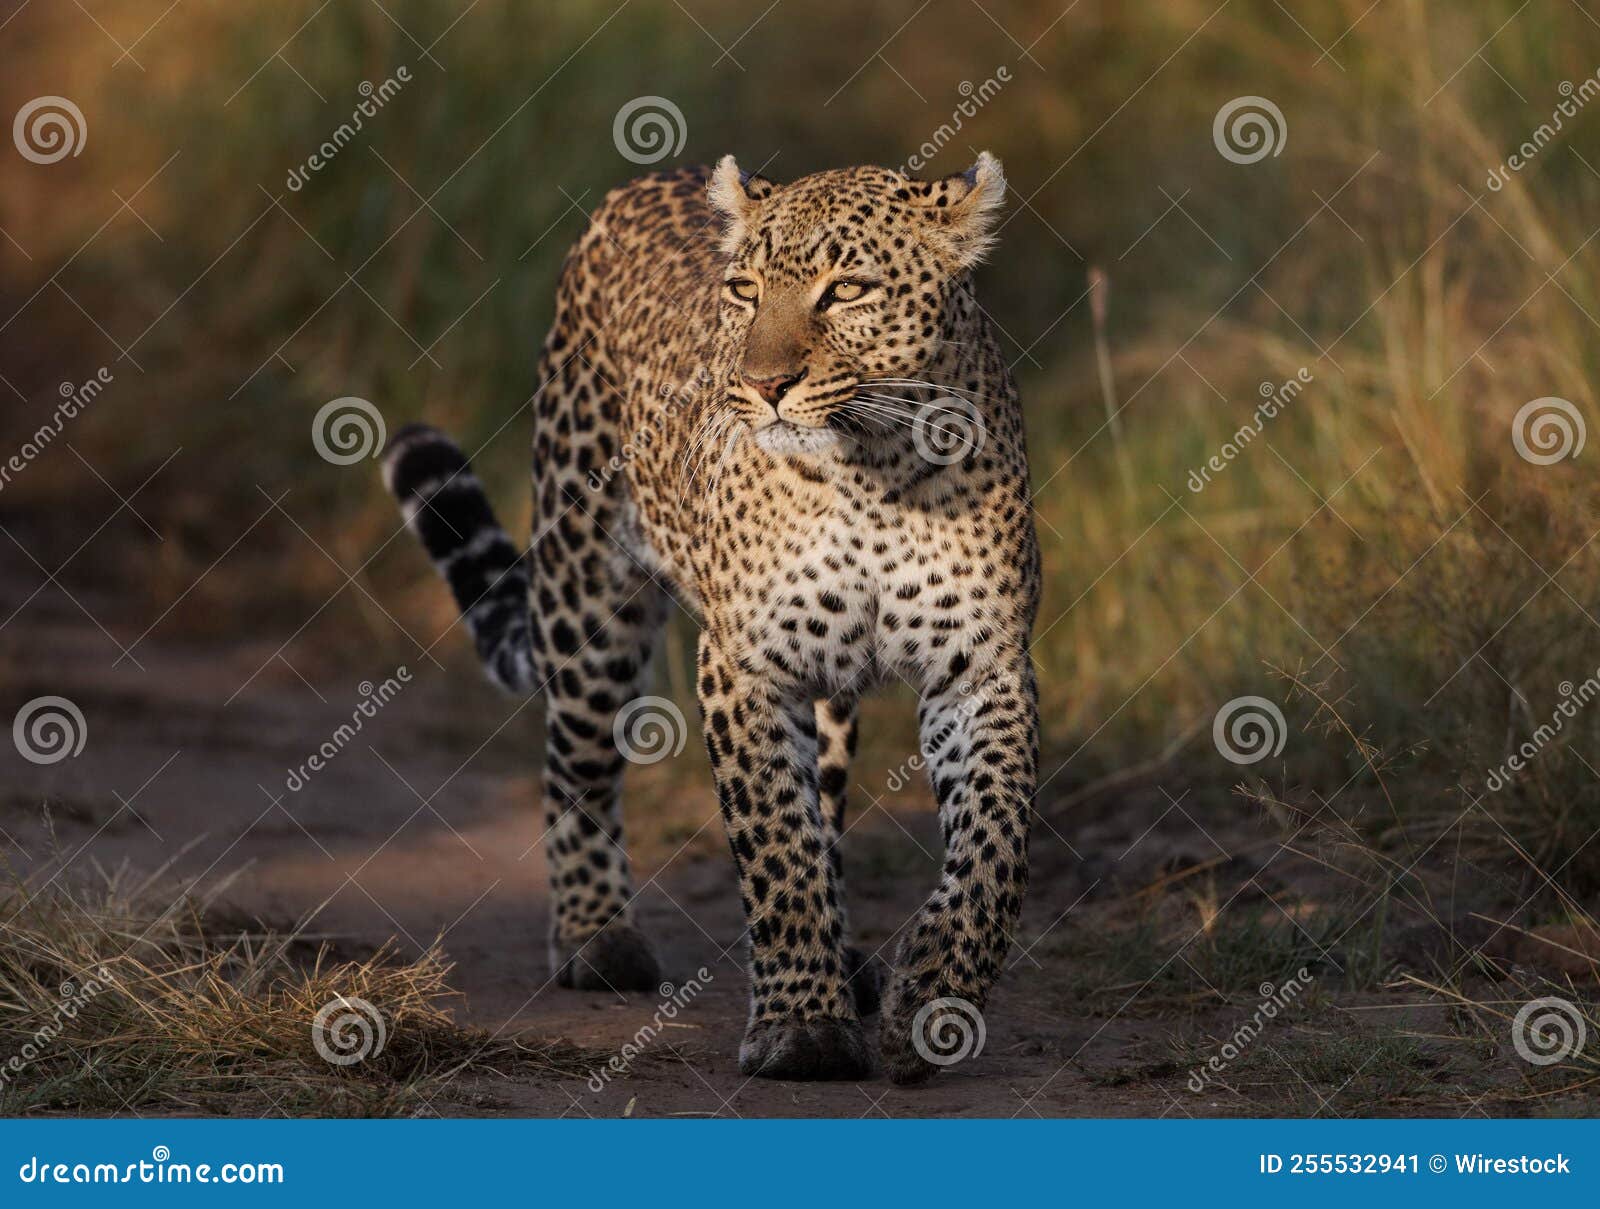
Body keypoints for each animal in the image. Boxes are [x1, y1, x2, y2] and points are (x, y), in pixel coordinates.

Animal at [381, 152, 1040, 1085]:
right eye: (745, 289)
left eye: (846, 289)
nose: (764, 386)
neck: (875, 468)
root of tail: (647, 178)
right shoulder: (746, 663)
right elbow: (775, 843)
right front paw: (802, 1027)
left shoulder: (982, 665)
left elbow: (993, 844)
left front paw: (934, 993)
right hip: (587, 594)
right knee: (576, 765)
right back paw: (596, 937)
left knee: (826, 803)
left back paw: (849, 959)